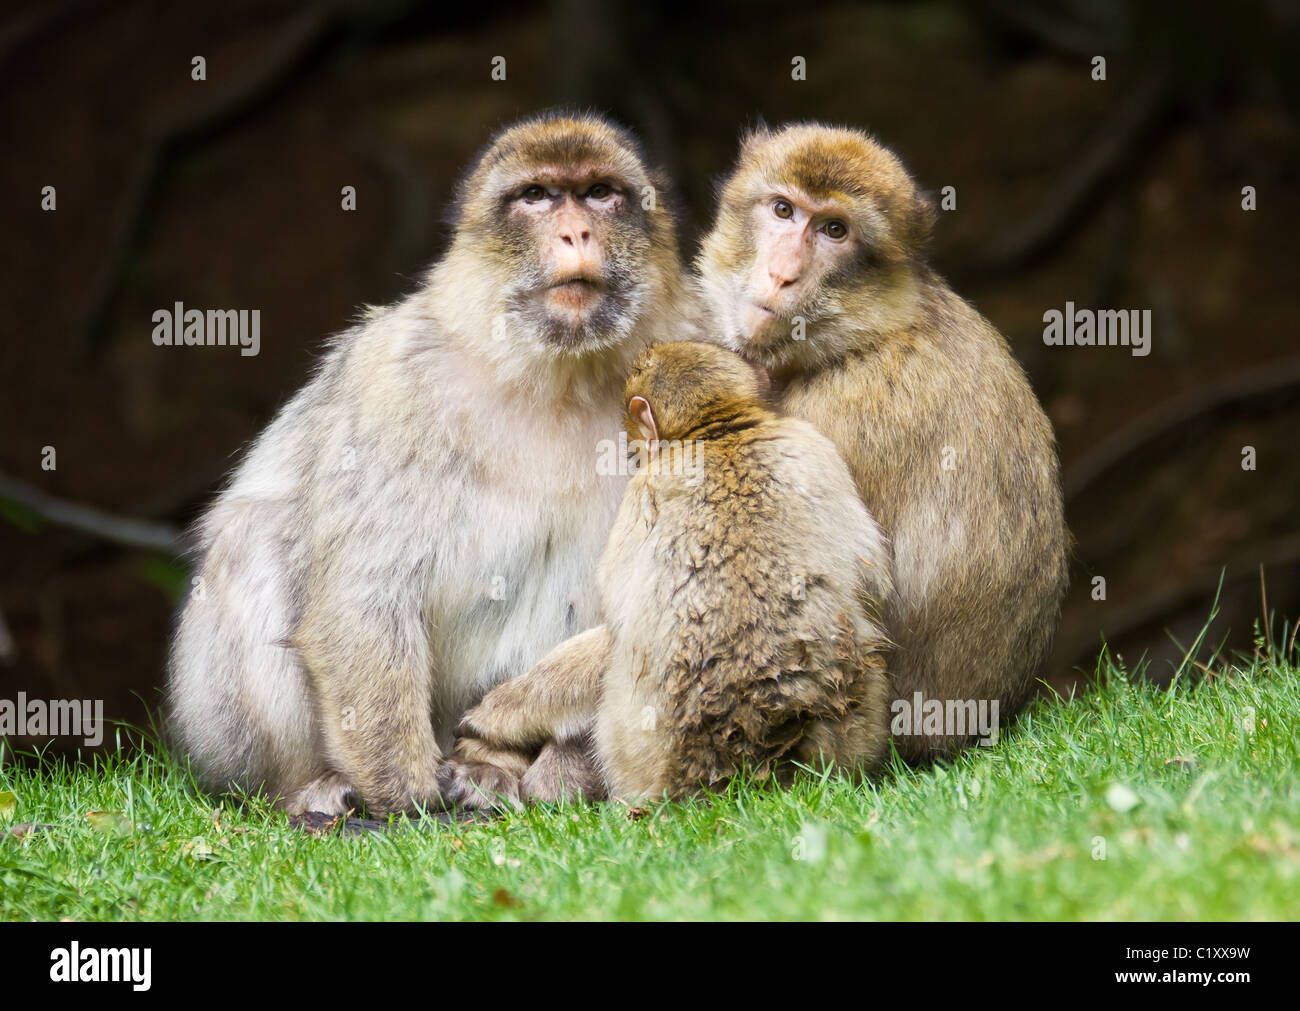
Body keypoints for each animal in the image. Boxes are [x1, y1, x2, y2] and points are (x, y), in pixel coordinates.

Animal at [165, 111, 695, 817]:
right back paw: (303, 786)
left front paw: (565, 776)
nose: (576, 232)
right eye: (537, 197)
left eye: (601, 193)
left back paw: (495, 767)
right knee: (251, 537)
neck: (556, 372)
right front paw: (407, 794)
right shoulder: (398, 378)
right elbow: (362, 594)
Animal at [439, 340, 895, 806]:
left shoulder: (641, 492)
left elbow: (616, 626)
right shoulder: (813, 446)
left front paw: (494, 717)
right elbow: (873, 578)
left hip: (632, 753)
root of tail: (755, 756)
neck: (715, 434)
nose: (631, 451)